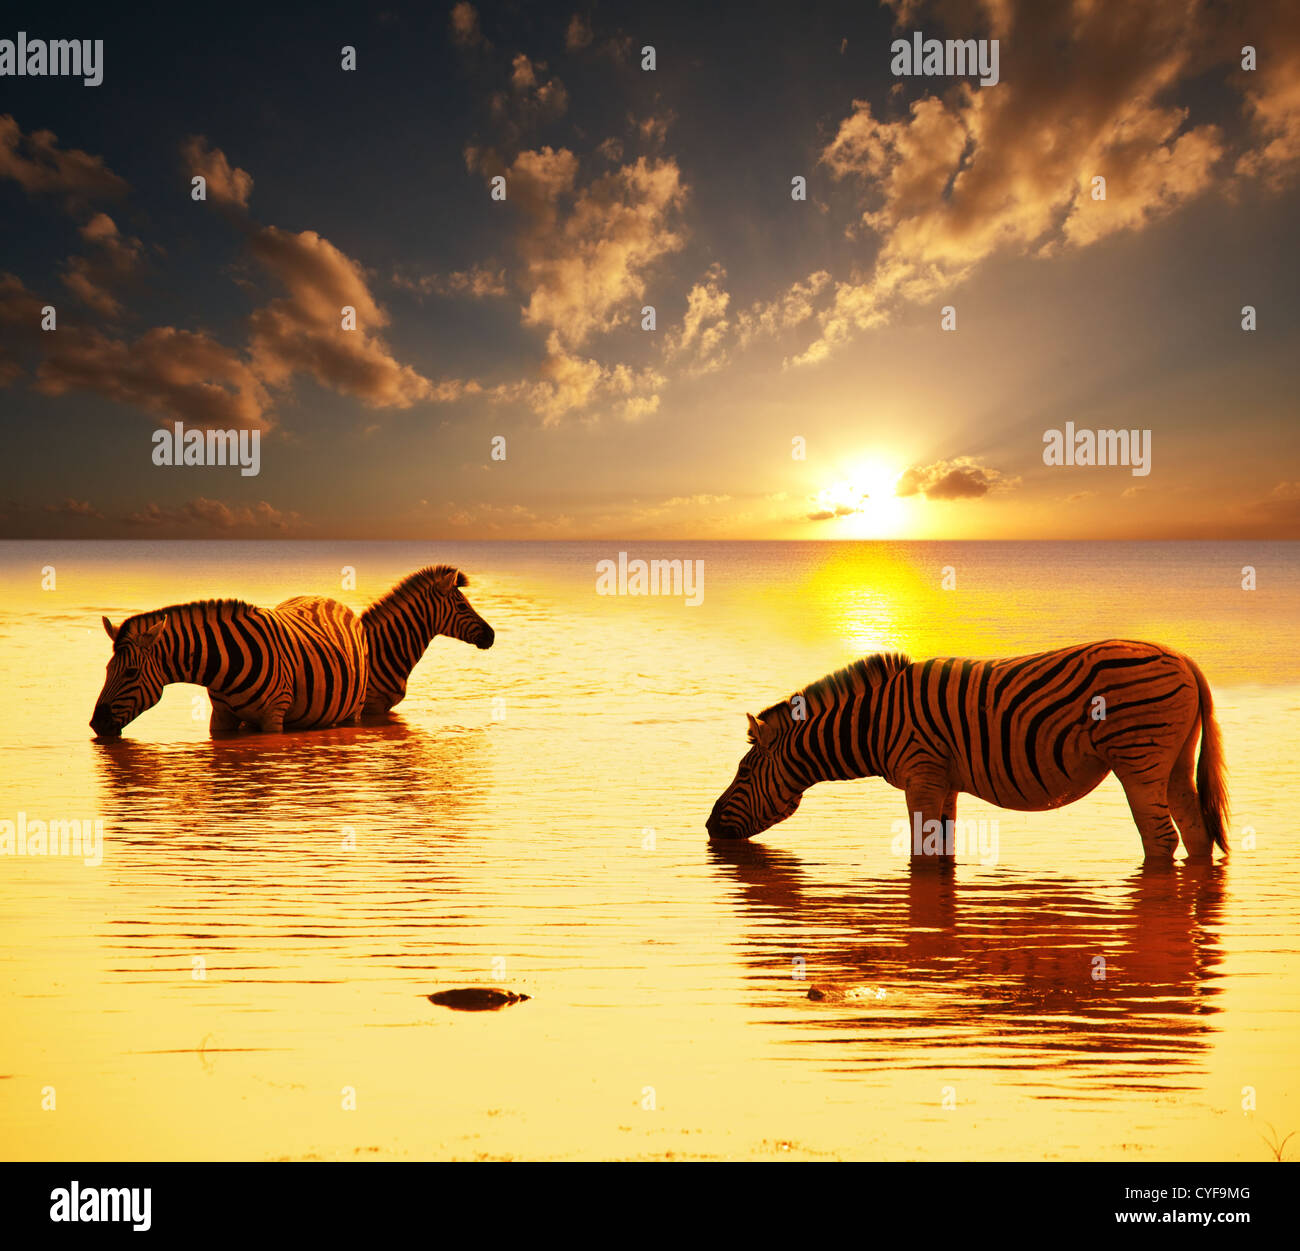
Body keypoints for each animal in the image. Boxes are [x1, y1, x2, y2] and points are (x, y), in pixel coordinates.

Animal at [90, 596, 369, 737]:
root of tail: (333, 601)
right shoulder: (222, 714)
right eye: (106, 670)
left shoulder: (273, 716)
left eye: (131, 672)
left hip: (353, 709)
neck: (222, 667)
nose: (95, 724)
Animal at [706, 640, 1229, 862]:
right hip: (1175, 762)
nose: (709, 827)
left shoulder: (921, 774)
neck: (876, 723)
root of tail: (1183, 657)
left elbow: (921, 851)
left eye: (744, 771)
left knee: (1161, 839)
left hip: (1138, 759)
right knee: (1196, 832)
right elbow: (943, 849)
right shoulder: (945, 782)